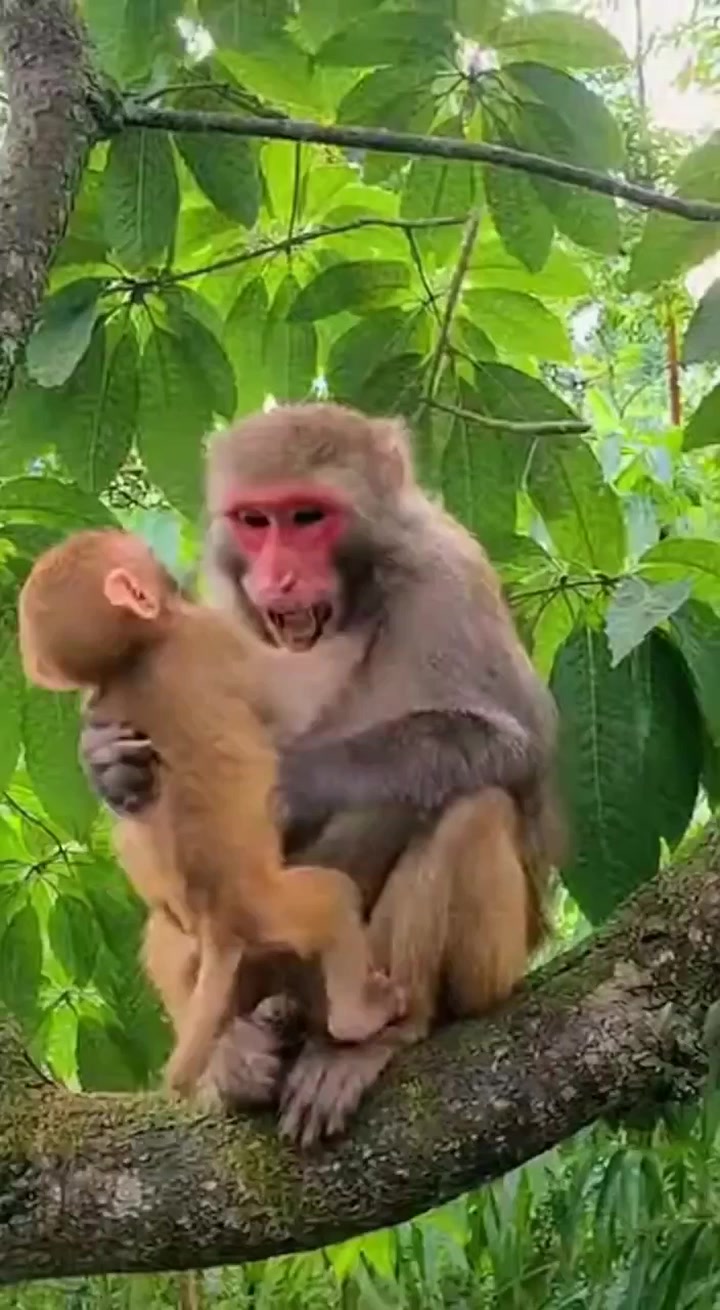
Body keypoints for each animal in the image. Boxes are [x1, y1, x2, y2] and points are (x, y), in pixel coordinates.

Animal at [18, 527, 406, 1096]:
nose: (166, 567)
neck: (133, 657)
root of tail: (220, 919)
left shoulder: (106, 700)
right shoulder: (214, 639)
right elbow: (303, 690)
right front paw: (367, 619)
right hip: (277, 906)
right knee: (333, 897)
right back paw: (355, 1016)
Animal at [79, 403, 562, 1146]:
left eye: (309, 517)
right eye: (256, 520)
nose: (279, 578)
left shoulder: (450, 575)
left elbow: (517, 746)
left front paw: (291, 780)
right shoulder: (218, 620)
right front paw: (111, 766)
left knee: (470, 811)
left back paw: (376, 1036)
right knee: (176, 916)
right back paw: (235, 1056)